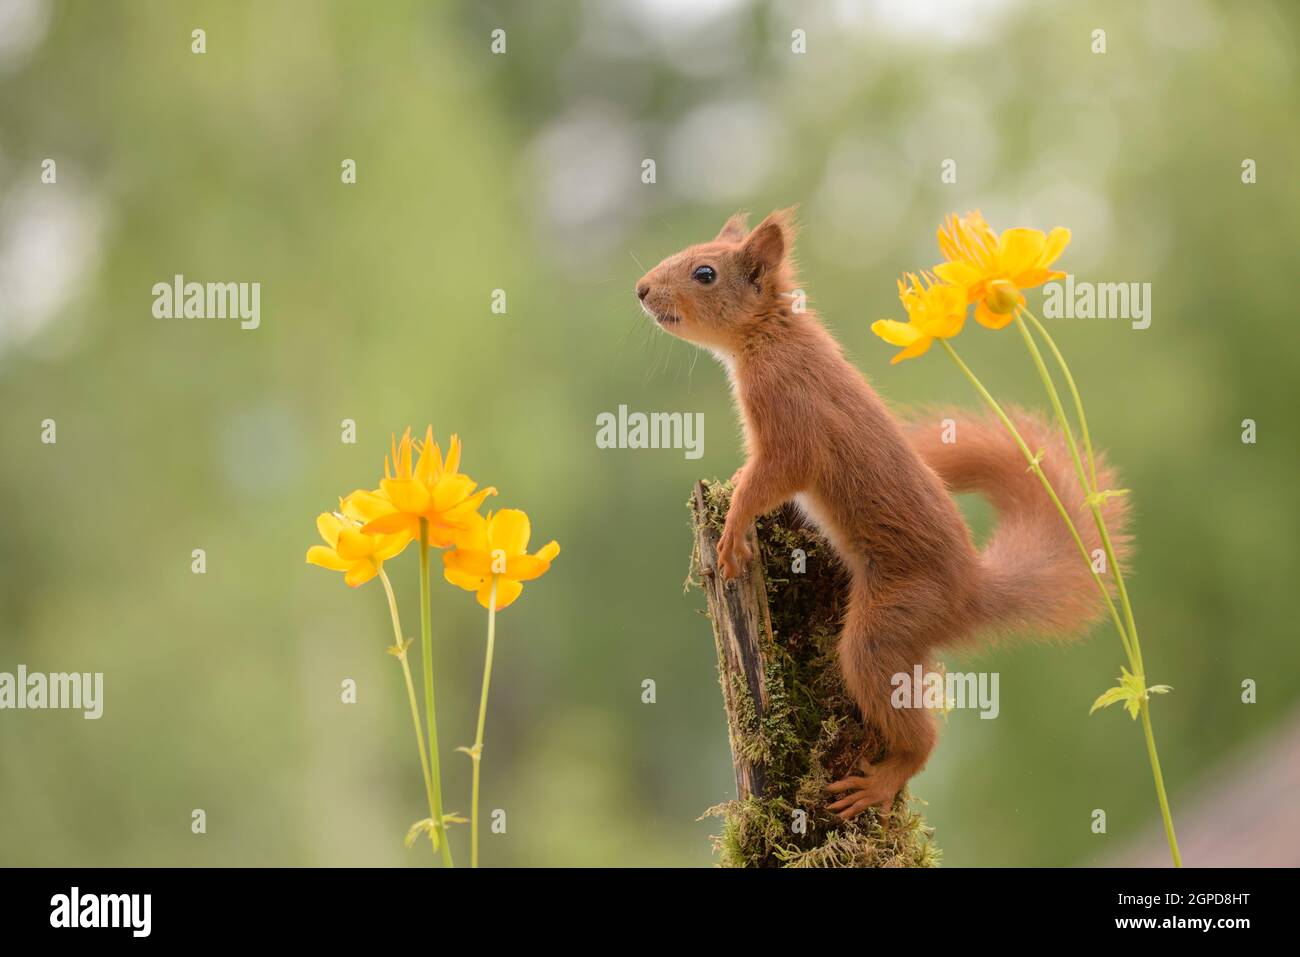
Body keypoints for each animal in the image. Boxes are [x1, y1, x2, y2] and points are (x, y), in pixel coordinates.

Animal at [636, 208, 1130, 819]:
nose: (641, 289)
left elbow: (776, 474)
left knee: (913, 725)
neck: (772, 333)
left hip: (893, 621)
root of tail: (972, 591)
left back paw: (881, 780)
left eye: (704, 273)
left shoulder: (789, 409)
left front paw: (732, 531)